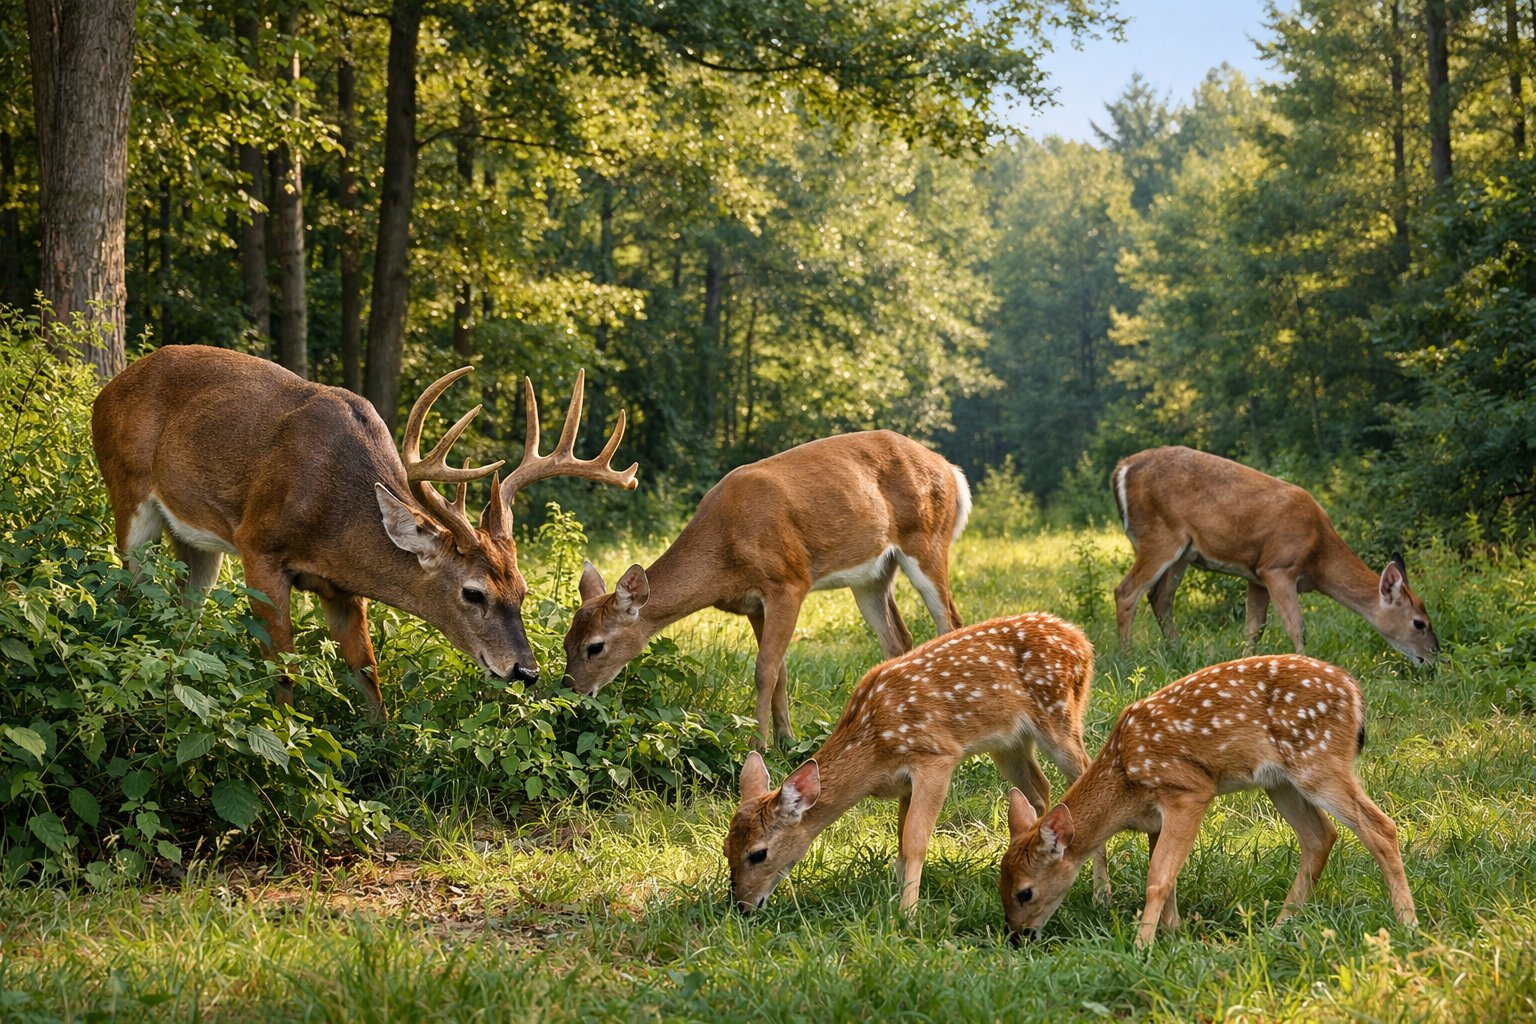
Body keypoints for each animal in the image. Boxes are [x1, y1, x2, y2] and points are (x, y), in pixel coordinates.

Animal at [90, 345, 637, 719]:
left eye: (522, 591)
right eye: (473, 592)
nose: (526, 671)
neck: (334, 518)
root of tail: (108, 388)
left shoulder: (341, 587)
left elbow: (368, 669)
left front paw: (384, 742)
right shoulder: (258, 545)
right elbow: (284, 663)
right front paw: (287, 733)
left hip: (196, 541)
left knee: (185, 605)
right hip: (126, 488)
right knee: (128, 588)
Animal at [563, 430, 971, 747]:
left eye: (595, 646)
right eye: (567, 642)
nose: (571, 691)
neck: (725, 552)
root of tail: (952, 471)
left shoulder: (789, 582)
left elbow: (764, 669)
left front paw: (756, 744)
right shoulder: (753, 604)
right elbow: (780, 671)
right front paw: (786, 739)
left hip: (927, 541)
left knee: (950, 622)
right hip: (871, 576)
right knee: (897, 640)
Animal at [724, 612, 1109, 914]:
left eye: (758, 854)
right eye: (728, 848)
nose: (742, 906)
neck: (873, 745)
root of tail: (1083, 641)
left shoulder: (935, 757)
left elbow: (914, 839)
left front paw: (907, 914)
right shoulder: (904, 782)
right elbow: (899, 838)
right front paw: (896, 894)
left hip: (1059, 717)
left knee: (1084, 776)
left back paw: (1100, 894)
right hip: (1008, 743)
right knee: (1039, 788)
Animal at [999, 653, 1418, 947]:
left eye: (1025, 892)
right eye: (1001, 883)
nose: (1017, 938)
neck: (1125, 780)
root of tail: (1355, 693)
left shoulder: (1188, 791)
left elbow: (1158, 877)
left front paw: (1141, 945)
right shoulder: (1156, 819)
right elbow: (1167, 877)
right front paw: (1174, 934)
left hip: (1319, 762)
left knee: (1381, 827)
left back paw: (1407, 924)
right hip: (1281, 782)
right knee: (1319, 836)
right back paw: (1278, 927)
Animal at [1111, 446, 1439, 665]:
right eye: (1419, 623)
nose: (1436, 656)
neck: (1318, 556)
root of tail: (1120, 469)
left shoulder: (1256, 574)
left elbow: (1254, 628)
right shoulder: (1278, 567)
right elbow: (1297, 625)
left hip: (1183, 553)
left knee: (1160, 597)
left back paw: (1177, 652)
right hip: (1160, 535)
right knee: (1126, 591)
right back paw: (1127, 659)